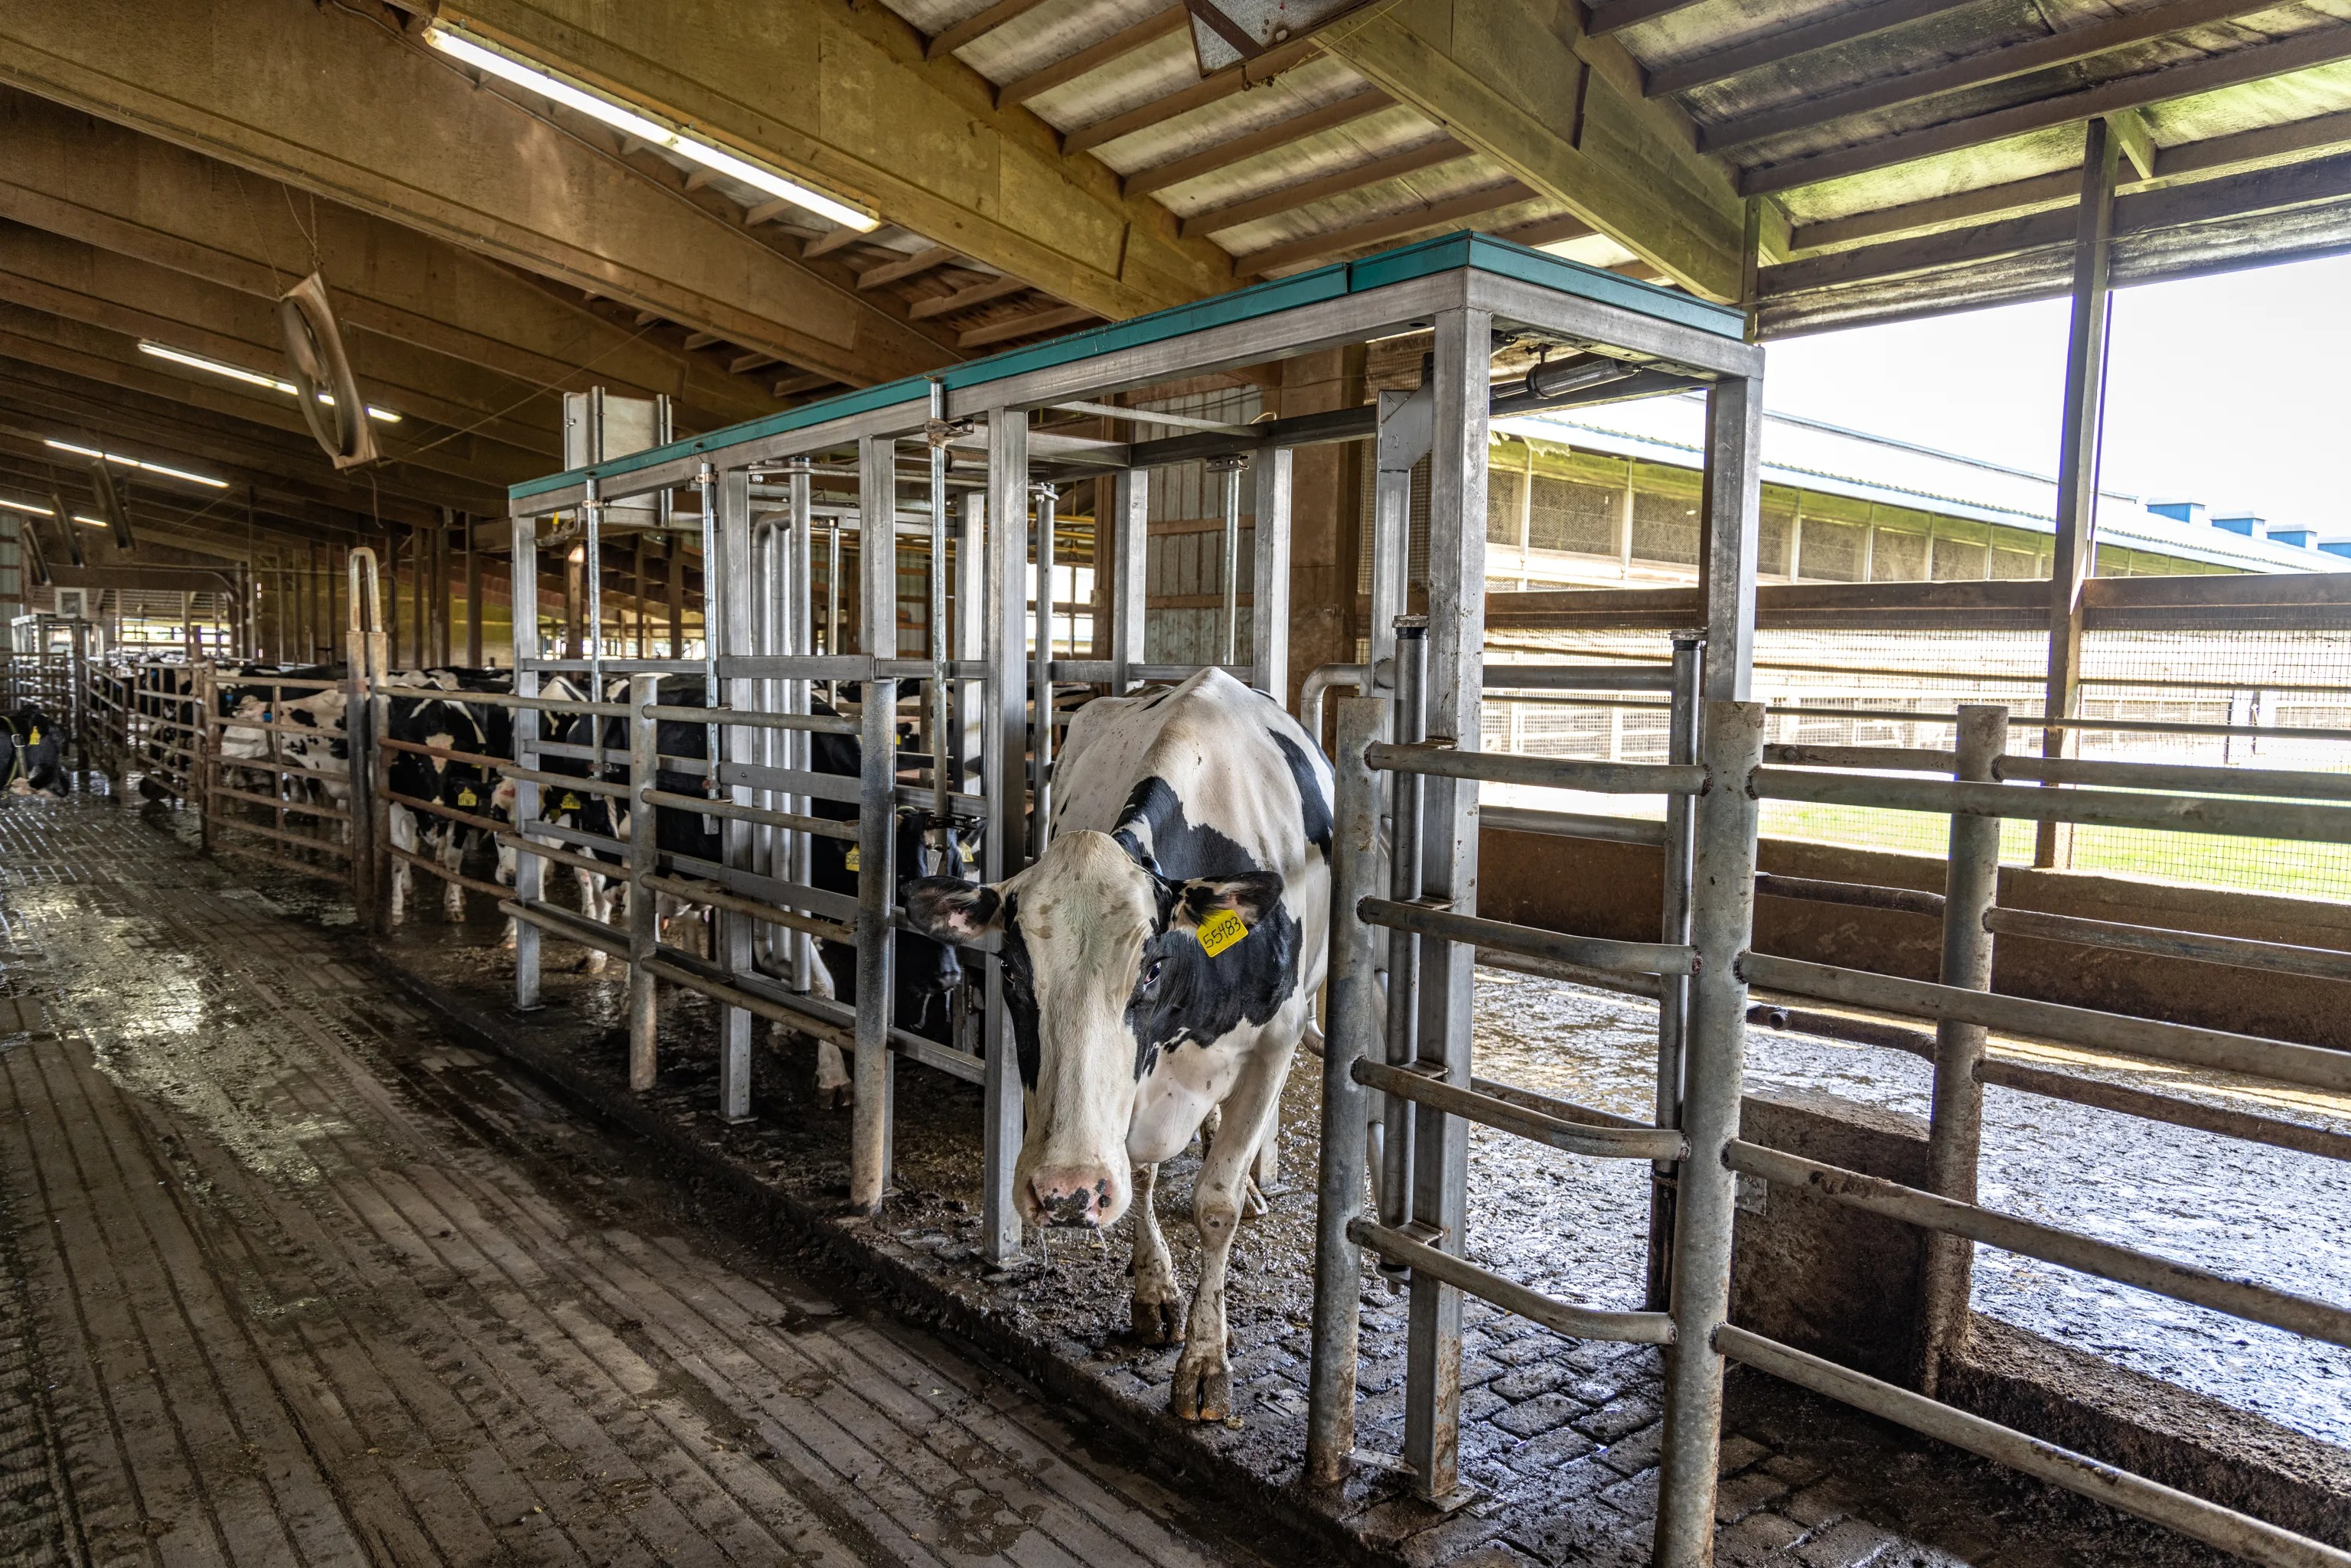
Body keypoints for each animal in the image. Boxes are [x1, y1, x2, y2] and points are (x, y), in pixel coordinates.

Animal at [900, 667, 1331, 1423]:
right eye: (1012, 970)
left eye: (1151, 967)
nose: (1067, 1192)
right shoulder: (1131, 1088)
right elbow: (1143, 1172)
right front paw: (1154, 1289)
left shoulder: (1275, 1042)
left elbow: (1214, 1202)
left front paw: (1205, 1361)